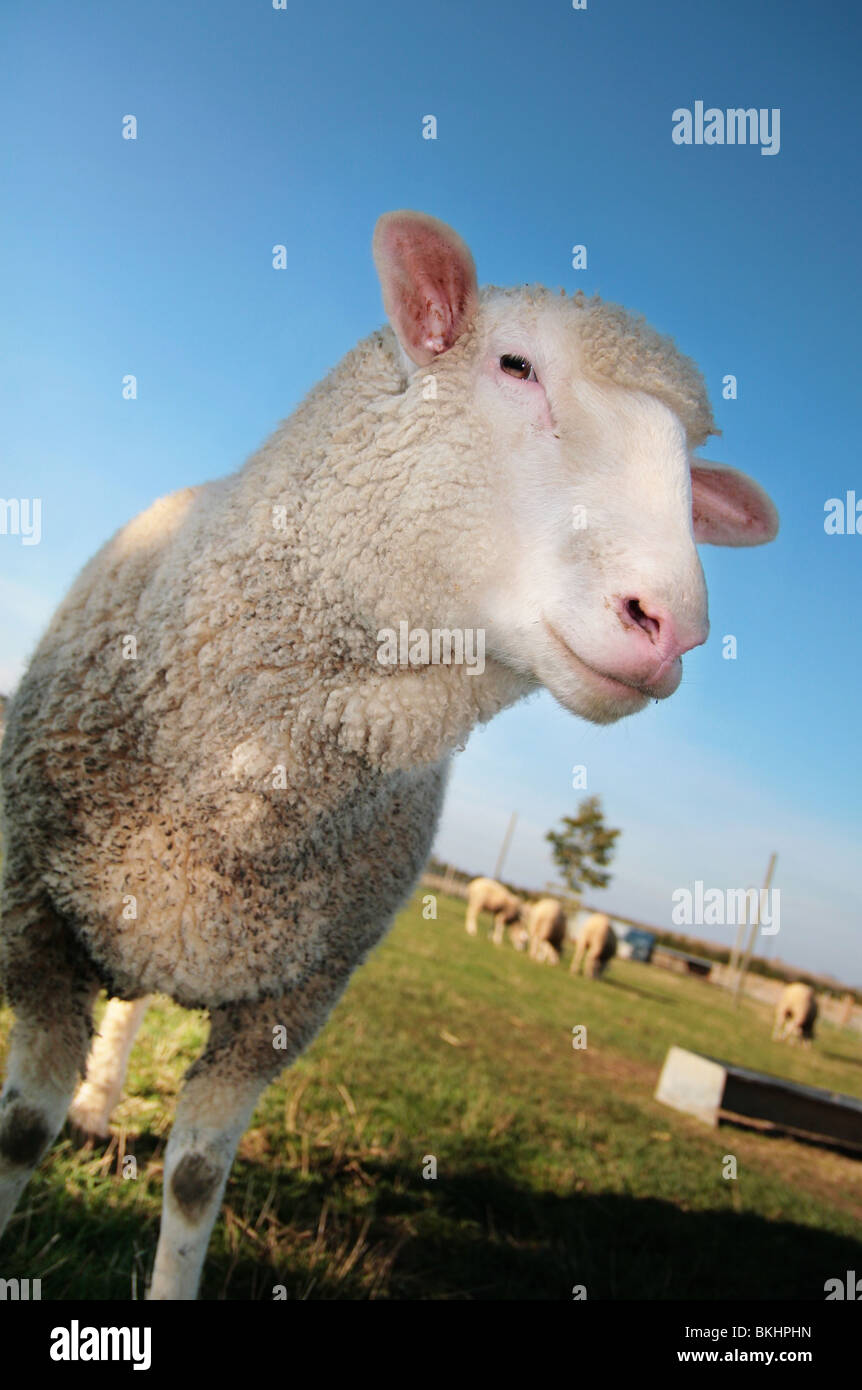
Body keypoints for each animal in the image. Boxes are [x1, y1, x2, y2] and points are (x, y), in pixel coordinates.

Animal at [0, 209, 778, 1299]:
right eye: (515, 365)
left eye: (689, 475)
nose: (671, 625)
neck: (240, 778)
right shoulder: (35, 926)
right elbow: (22, 1130)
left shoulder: (290, 1004)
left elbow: (195, 1179)